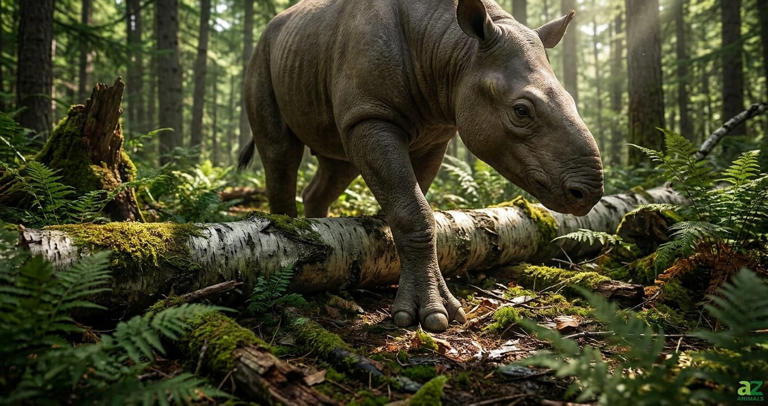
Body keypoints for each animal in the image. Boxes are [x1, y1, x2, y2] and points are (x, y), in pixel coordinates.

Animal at [240, 0, 603, 332]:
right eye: (521, 111)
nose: (588, 194)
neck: (454, 49)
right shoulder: (371, 113)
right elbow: (413, 210)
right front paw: (428, 316)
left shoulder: (435, 131)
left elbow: (416, 201)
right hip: (263, 53)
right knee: (280, 151)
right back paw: (288, 239)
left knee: (337, 163)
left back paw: (321, 238)